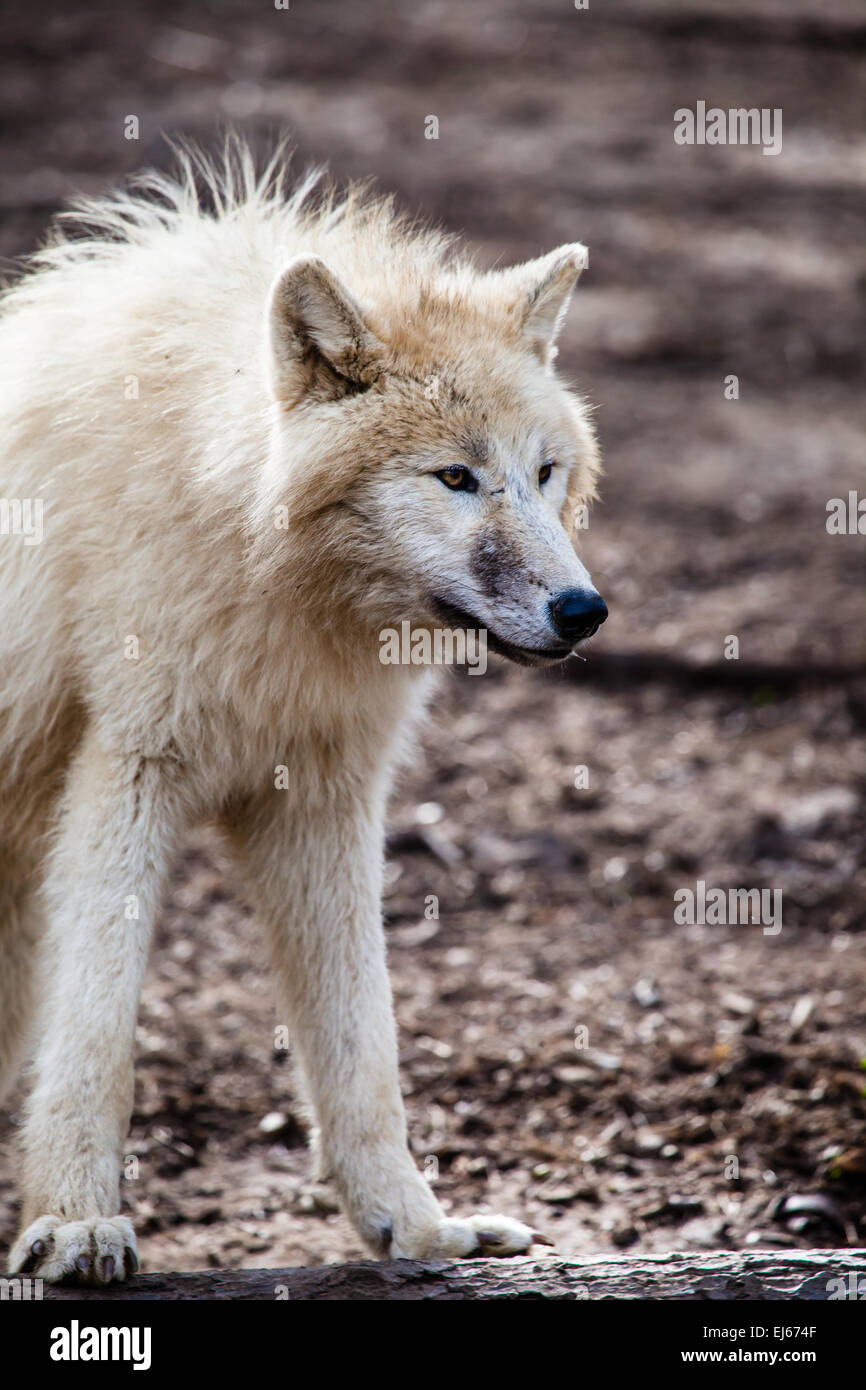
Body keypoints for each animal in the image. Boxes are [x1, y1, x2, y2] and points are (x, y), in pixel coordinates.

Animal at [0, 142, 606, 1283]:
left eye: (544, 474)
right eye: (455, 476)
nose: (583, 611)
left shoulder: (324, 800)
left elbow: (363, 1046)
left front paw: (416, 1227)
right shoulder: (123, 772)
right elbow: (96, 1034)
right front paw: (74, 1222)